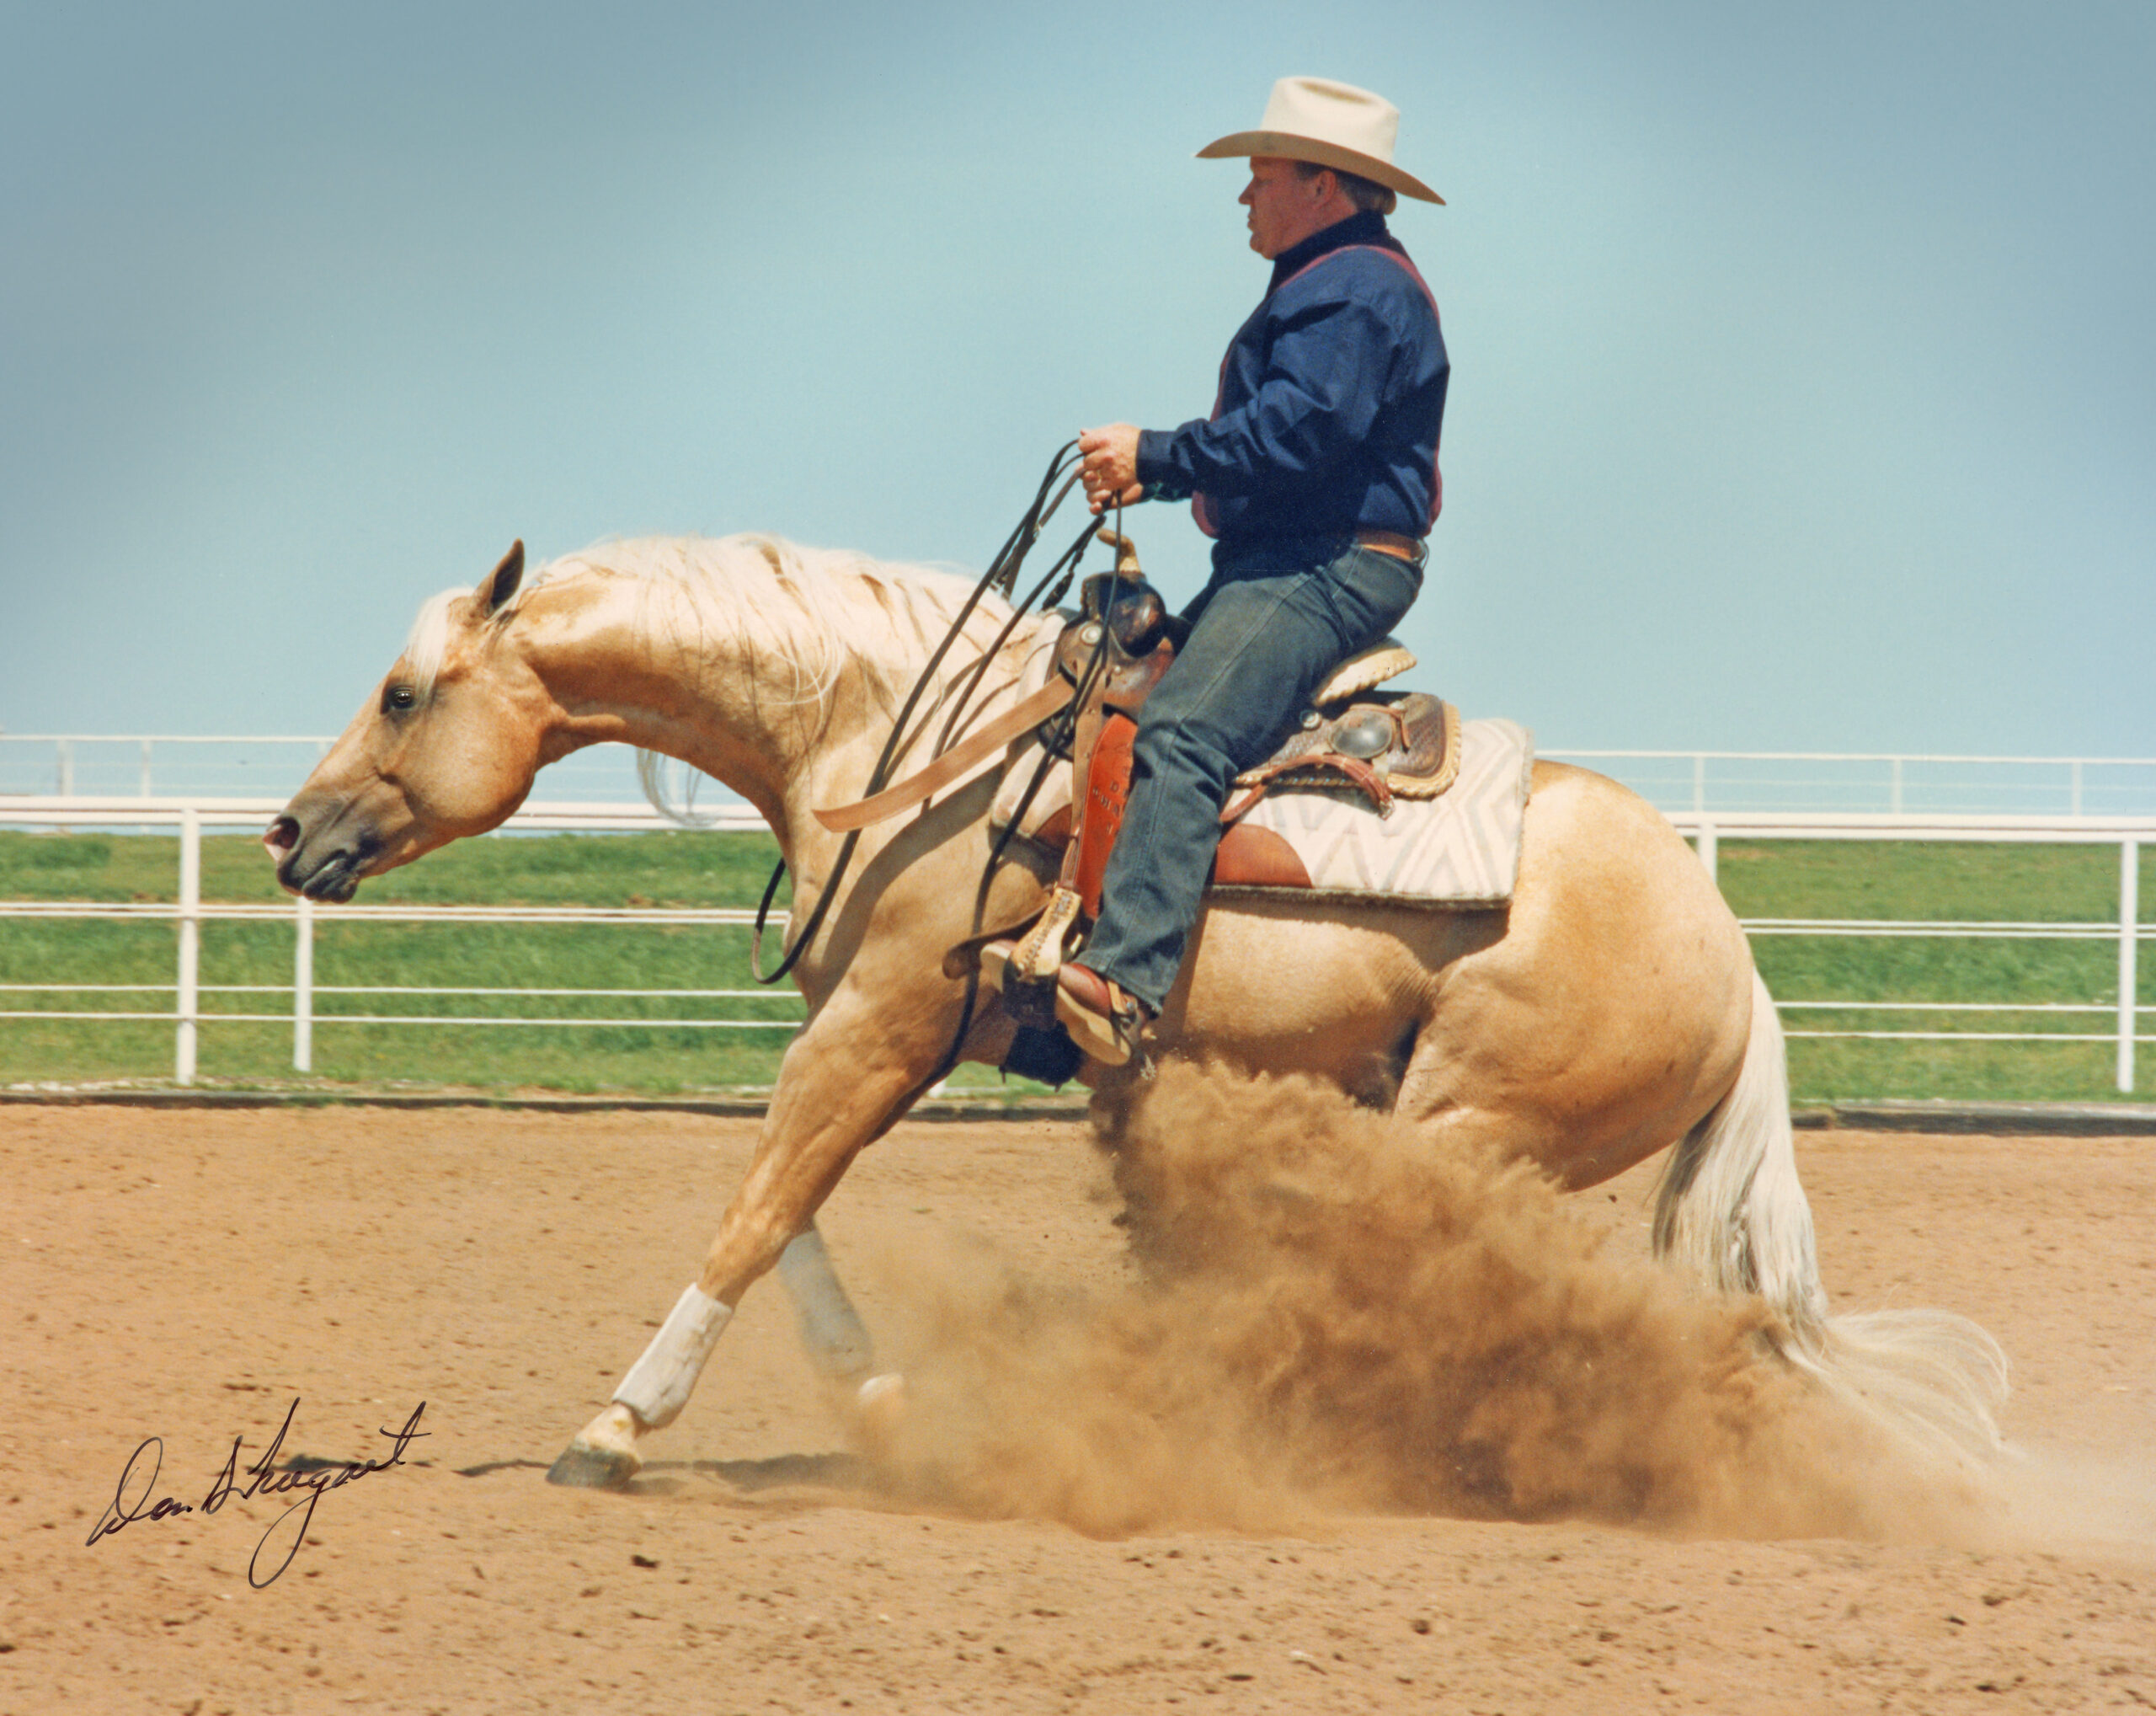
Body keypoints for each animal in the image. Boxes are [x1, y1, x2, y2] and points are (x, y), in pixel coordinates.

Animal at [266, 533, 2006, 1490]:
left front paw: (619, 1425)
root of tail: (1734, 958)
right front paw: (879, 1397)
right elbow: (790, 1214)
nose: (291, 832)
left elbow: (757, 1214)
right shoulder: (877, 1039)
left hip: (1461, 1119)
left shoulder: (883, 1026)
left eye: (403, 693)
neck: (908, 741)